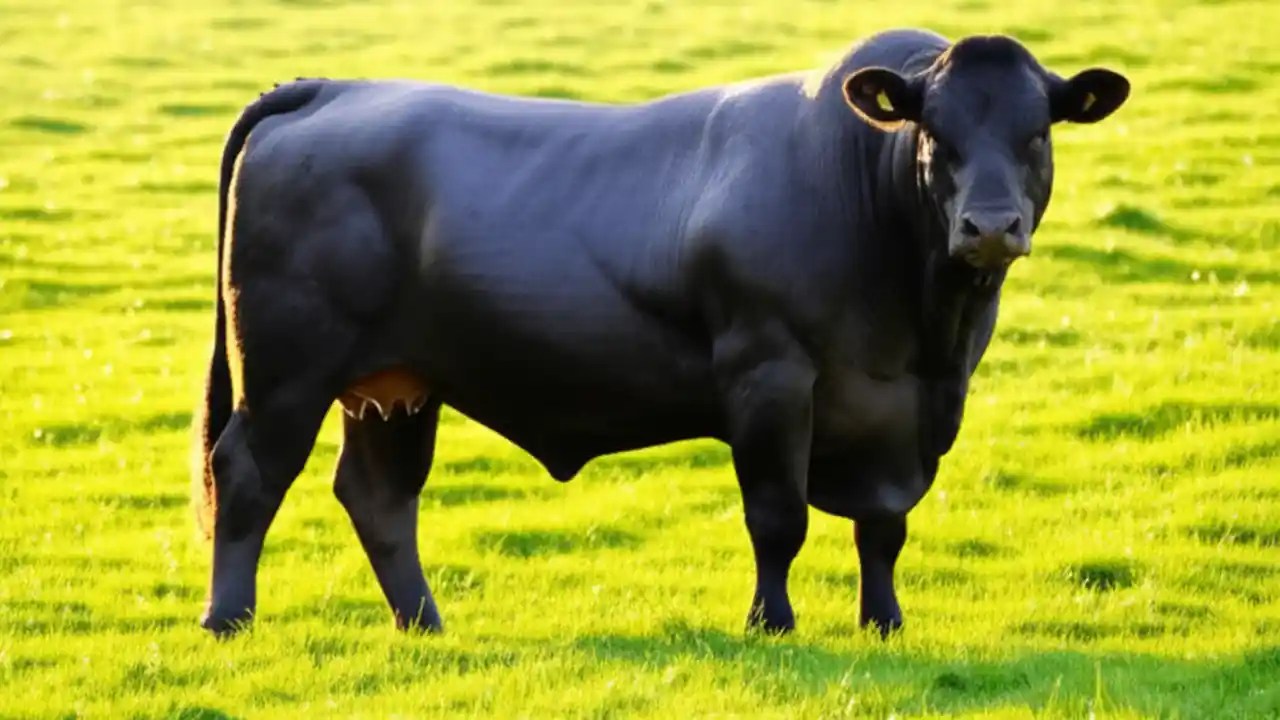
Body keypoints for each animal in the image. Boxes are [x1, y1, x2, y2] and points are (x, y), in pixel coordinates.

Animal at [192, 28, 1128, 637]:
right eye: (933, 131)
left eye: (1037, 132)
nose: (990, 226)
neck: (922, 334)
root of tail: (335, 88)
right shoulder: (769, 374)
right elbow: (777, 516)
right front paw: (771, 624)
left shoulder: (905, 413)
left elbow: (884, 529)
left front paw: (885, 623)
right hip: (287, 369)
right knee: (248, 472)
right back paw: (228, 618)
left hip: (398, 384)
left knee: (379, 495)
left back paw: (424, 624)